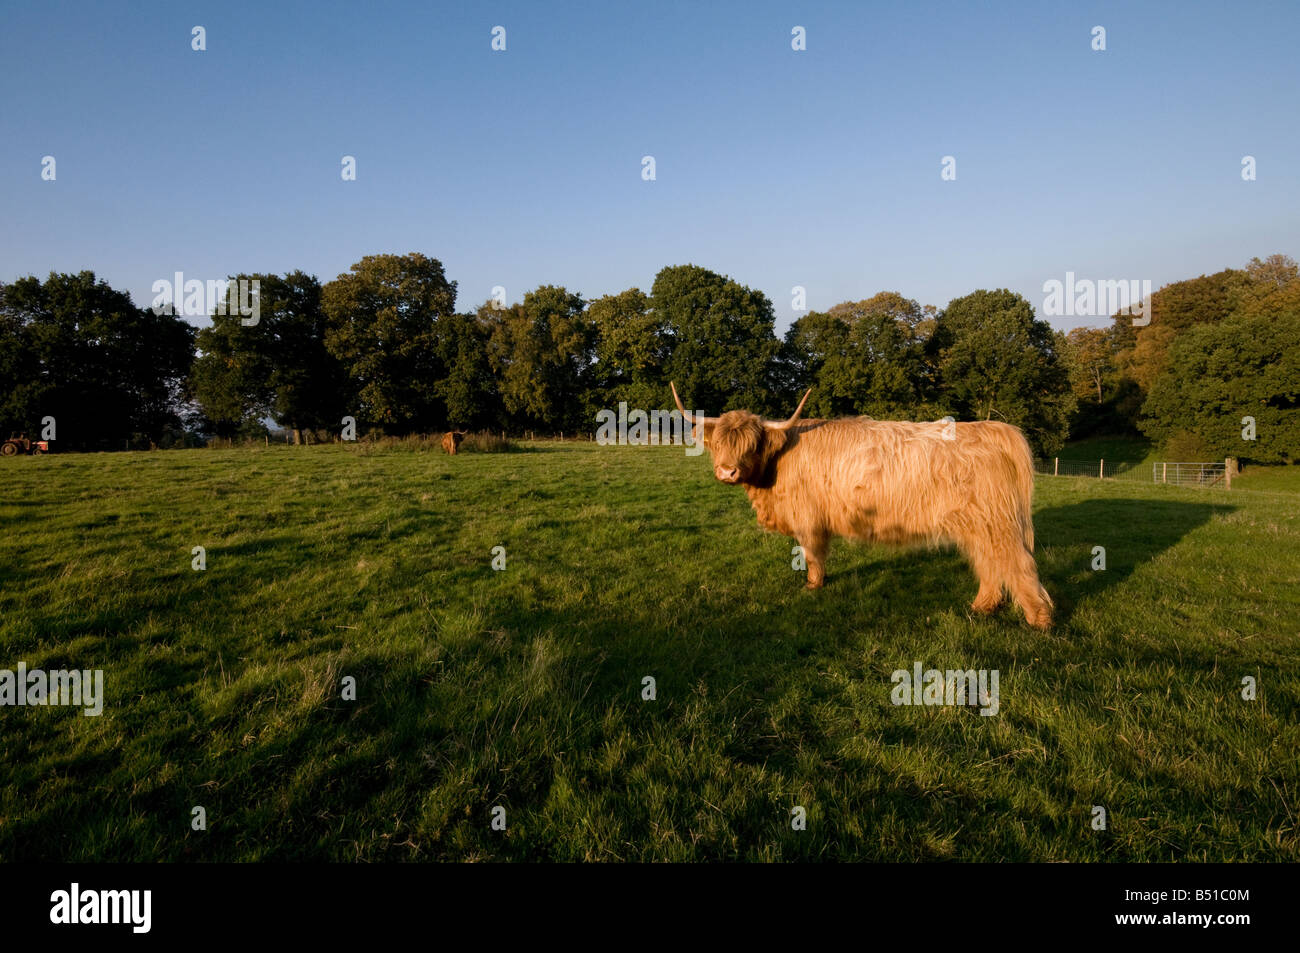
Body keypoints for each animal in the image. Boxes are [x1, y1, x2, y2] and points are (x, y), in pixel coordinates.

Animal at [671, 383, 1053, 629]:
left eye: (750, 444)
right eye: (720, 443)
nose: (727, 471)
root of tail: (995, 430)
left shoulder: (809, 517)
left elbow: (813, 553)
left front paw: (813, 586)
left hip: (996, 522)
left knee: (1017, 563)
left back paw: (1039, 620)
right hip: (977, 525)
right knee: (988, 562)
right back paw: (982, 606)